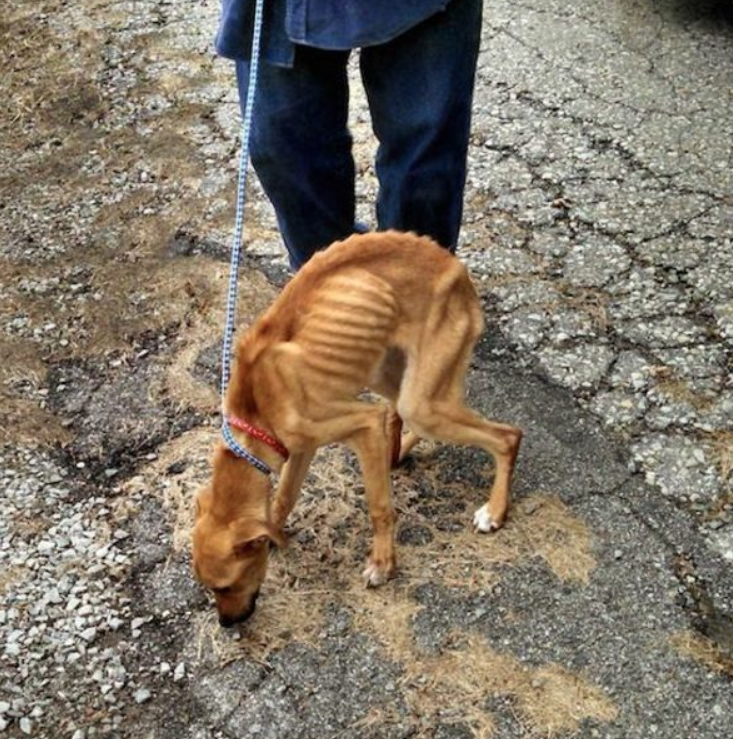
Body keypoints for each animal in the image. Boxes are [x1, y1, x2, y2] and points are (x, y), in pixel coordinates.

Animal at [192, 231, 516, 624]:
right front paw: (276, 534)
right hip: (391, 376)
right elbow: (284, 496)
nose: (227, 625)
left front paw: (382, 564)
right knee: (401, 414)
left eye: (226, 585)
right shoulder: (302, 446)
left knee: (507, 436)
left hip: (421, 401)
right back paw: (397, 453)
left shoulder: (362, 424)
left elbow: (379, 506)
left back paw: (494, 512)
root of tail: (454, 266)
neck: (255, 412)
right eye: (208, 587)